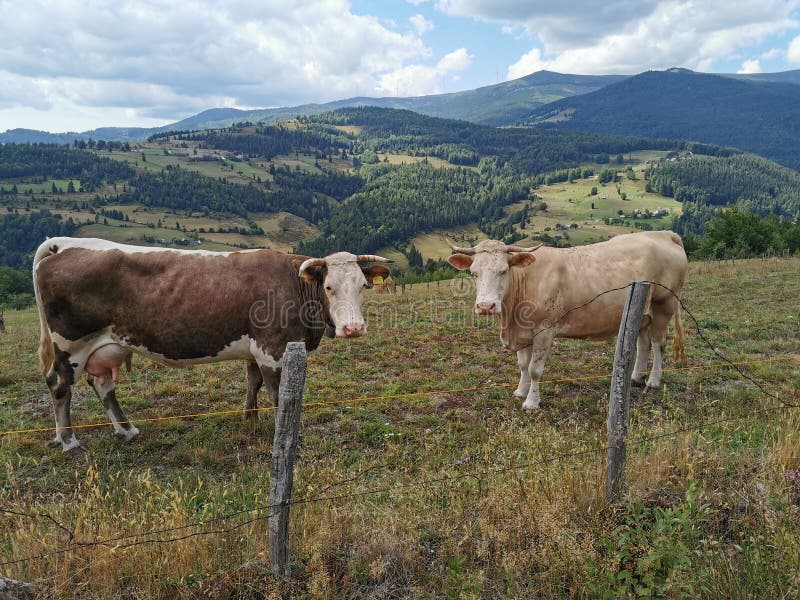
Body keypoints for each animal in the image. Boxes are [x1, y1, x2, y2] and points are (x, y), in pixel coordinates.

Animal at [33, 237, 391, 451]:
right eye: (329, 287)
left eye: (363, 285)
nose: (353, 328)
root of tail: (64, 243)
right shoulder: (273, 348)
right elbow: (277, 396)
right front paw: (284, 437)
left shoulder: (255, 348)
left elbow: (252, 382)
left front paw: (250, 420)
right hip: (71, 344)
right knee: (61, 385)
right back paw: (69, 441)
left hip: (105, 345)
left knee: (101, 384)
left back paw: (126, 430)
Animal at [447, 231, 688, 411]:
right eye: (473, 272)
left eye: (503, 270)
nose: (485, 306)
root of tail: (664, 234)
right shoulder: (522, 330)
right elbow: (523, 365)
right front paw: (520, 391)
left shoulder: (544, 330)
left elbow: (535, 369)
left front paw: (531, 402)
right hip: (642, 312)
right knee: (643, 342)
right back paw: (636, 377)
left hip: (664, 305)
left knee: (658, 343)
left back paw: (653, 381)